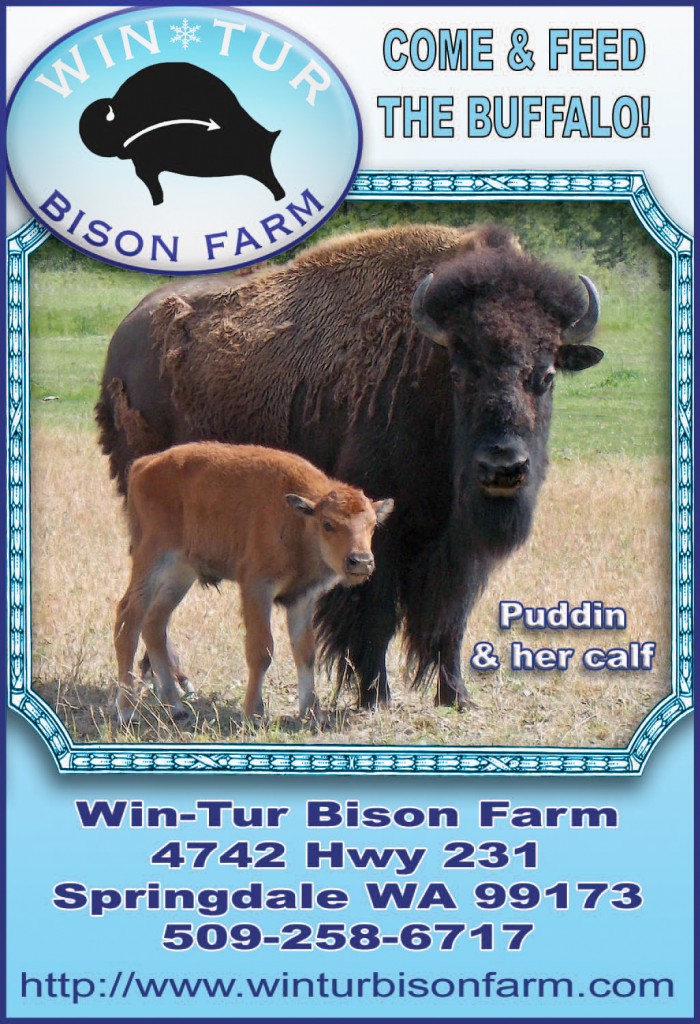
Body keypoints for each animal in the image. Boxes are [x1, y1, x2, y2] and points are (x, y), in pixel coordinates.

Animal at [96, 223, 602, 709]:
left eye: (546, 375)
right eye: (460, 374)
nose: (503, 466)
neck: (427, 367)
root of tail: (127, 332)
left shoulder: (458, 551)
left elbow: (449, 623)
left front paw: (456, 696)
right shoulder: (375, 537)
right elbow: (372, 615)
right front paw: (374, 695)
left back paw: (172, 685)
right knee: (147, 603)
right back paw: (172, 684)